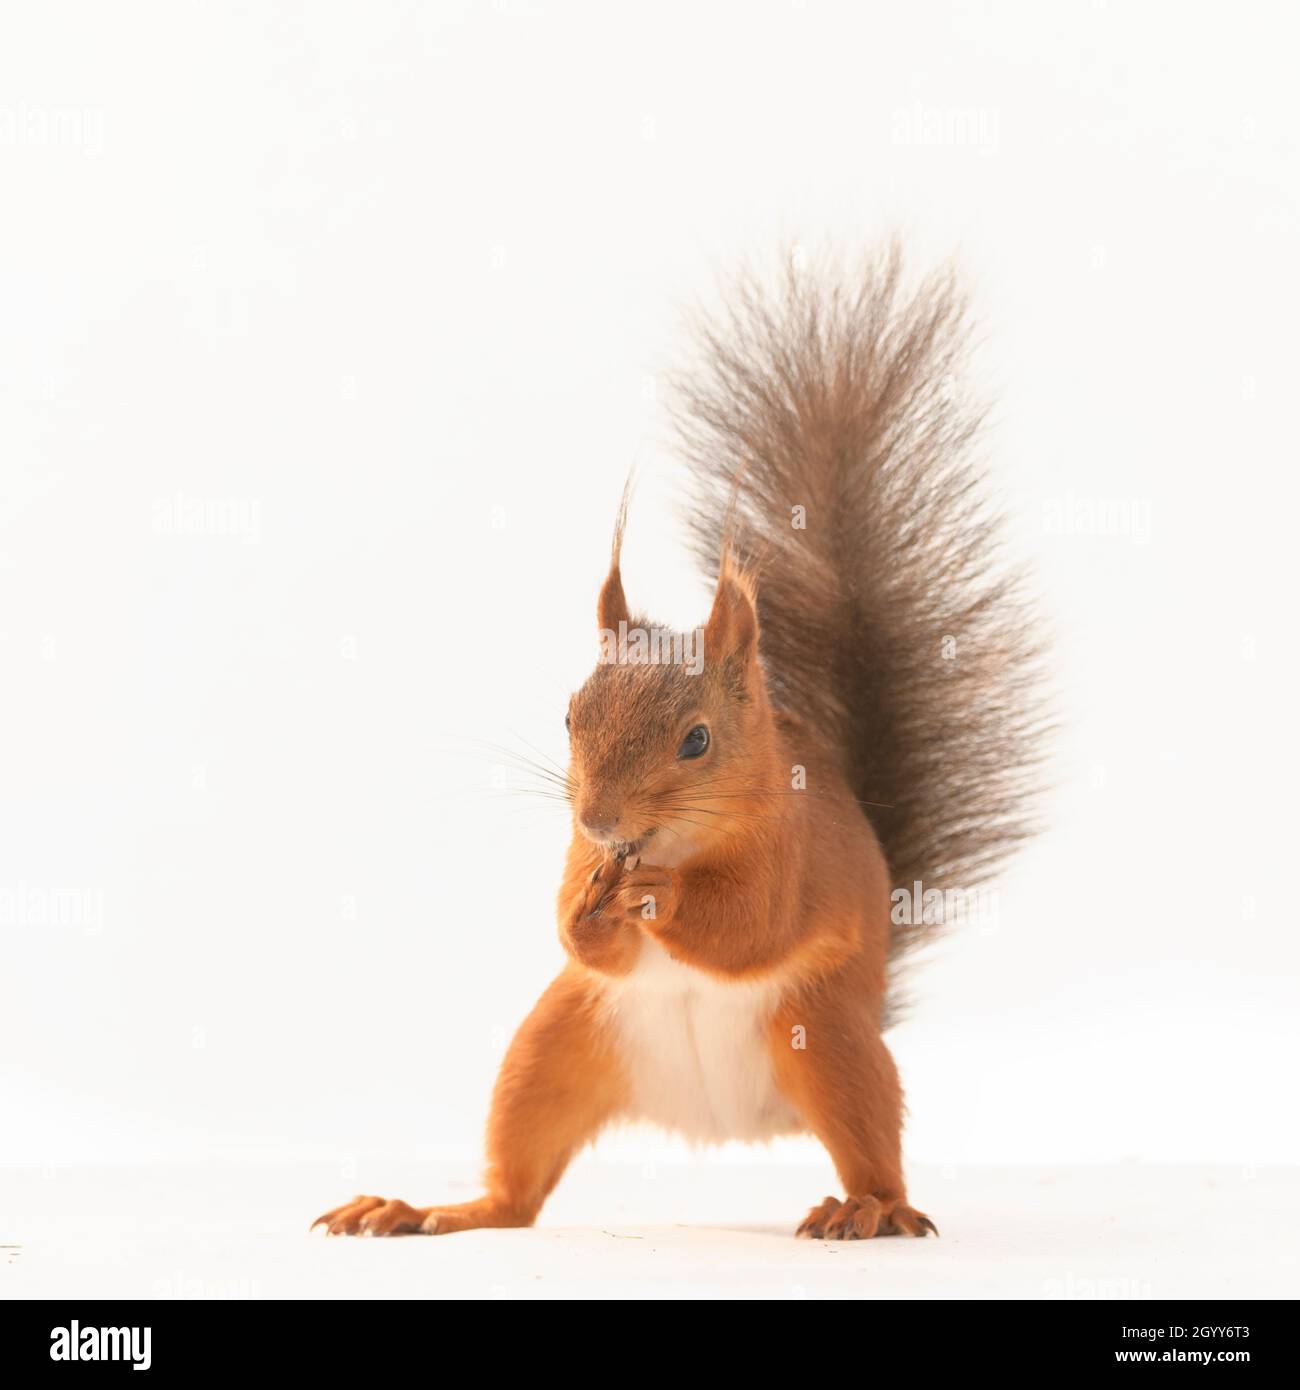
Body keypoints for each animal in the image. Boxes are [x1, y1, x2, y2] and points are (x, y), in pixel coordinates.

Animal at [314, 245, 1046, 1242]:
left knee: (876, 1150)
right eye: (570, 716)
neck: (672, 842)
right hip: (550, 1047)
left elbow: (748, 926)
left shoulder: (789, 852)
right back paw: (420, 1208)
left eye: (697, 739)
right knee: (517, 1195)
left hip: (828, 1042)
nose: (600, 817)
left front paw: (656, 896)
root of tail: (726, 1122)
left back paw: (864, 1209)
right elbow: (580, 935)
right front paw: (592, 903)